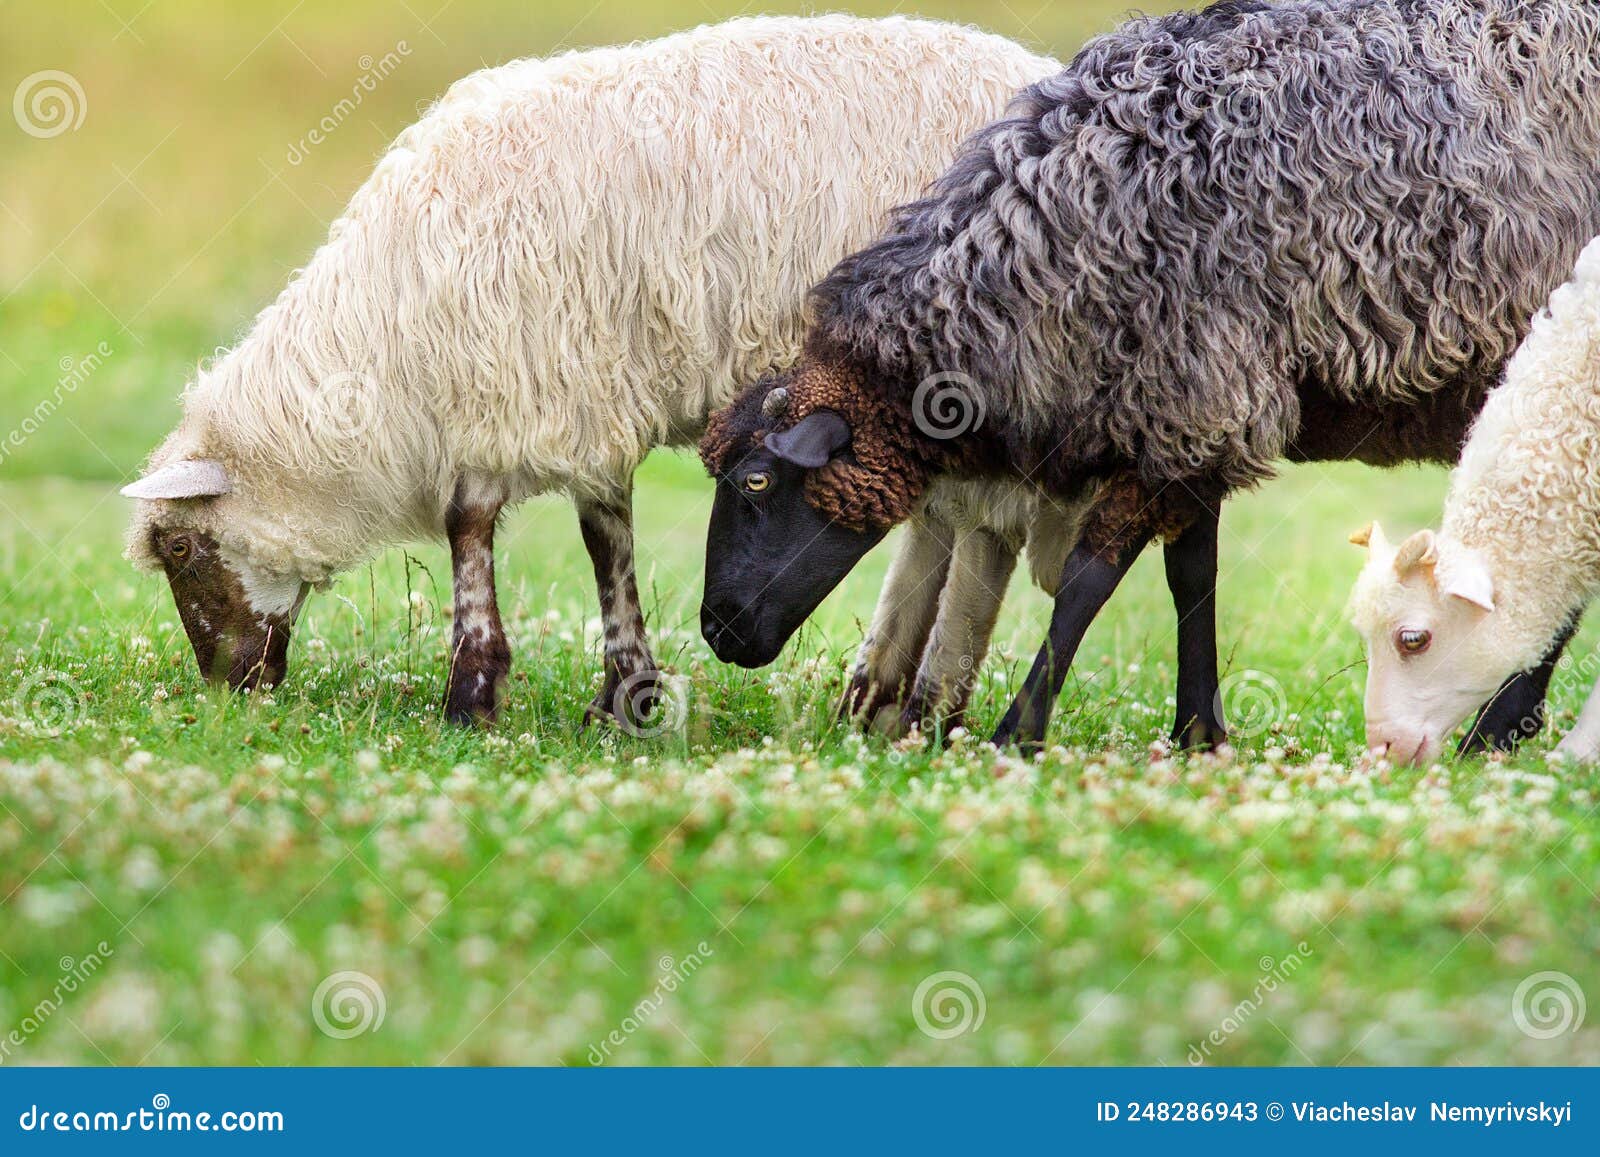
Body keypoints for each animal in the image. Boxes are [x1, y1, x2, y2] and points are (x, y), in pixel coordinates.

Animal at [119, 15, 1061, 728]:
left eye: (179, 545)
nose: (230, 686)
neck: (390, 349)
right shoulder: (581, 391)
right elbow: (605, 534)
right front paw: (621, 692)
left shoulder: (542, 381)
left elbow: (479, 526)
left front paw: (477, 692)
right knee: (939, 522)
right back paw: (877, 694)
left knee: (976, 527)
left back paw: (917, 702)